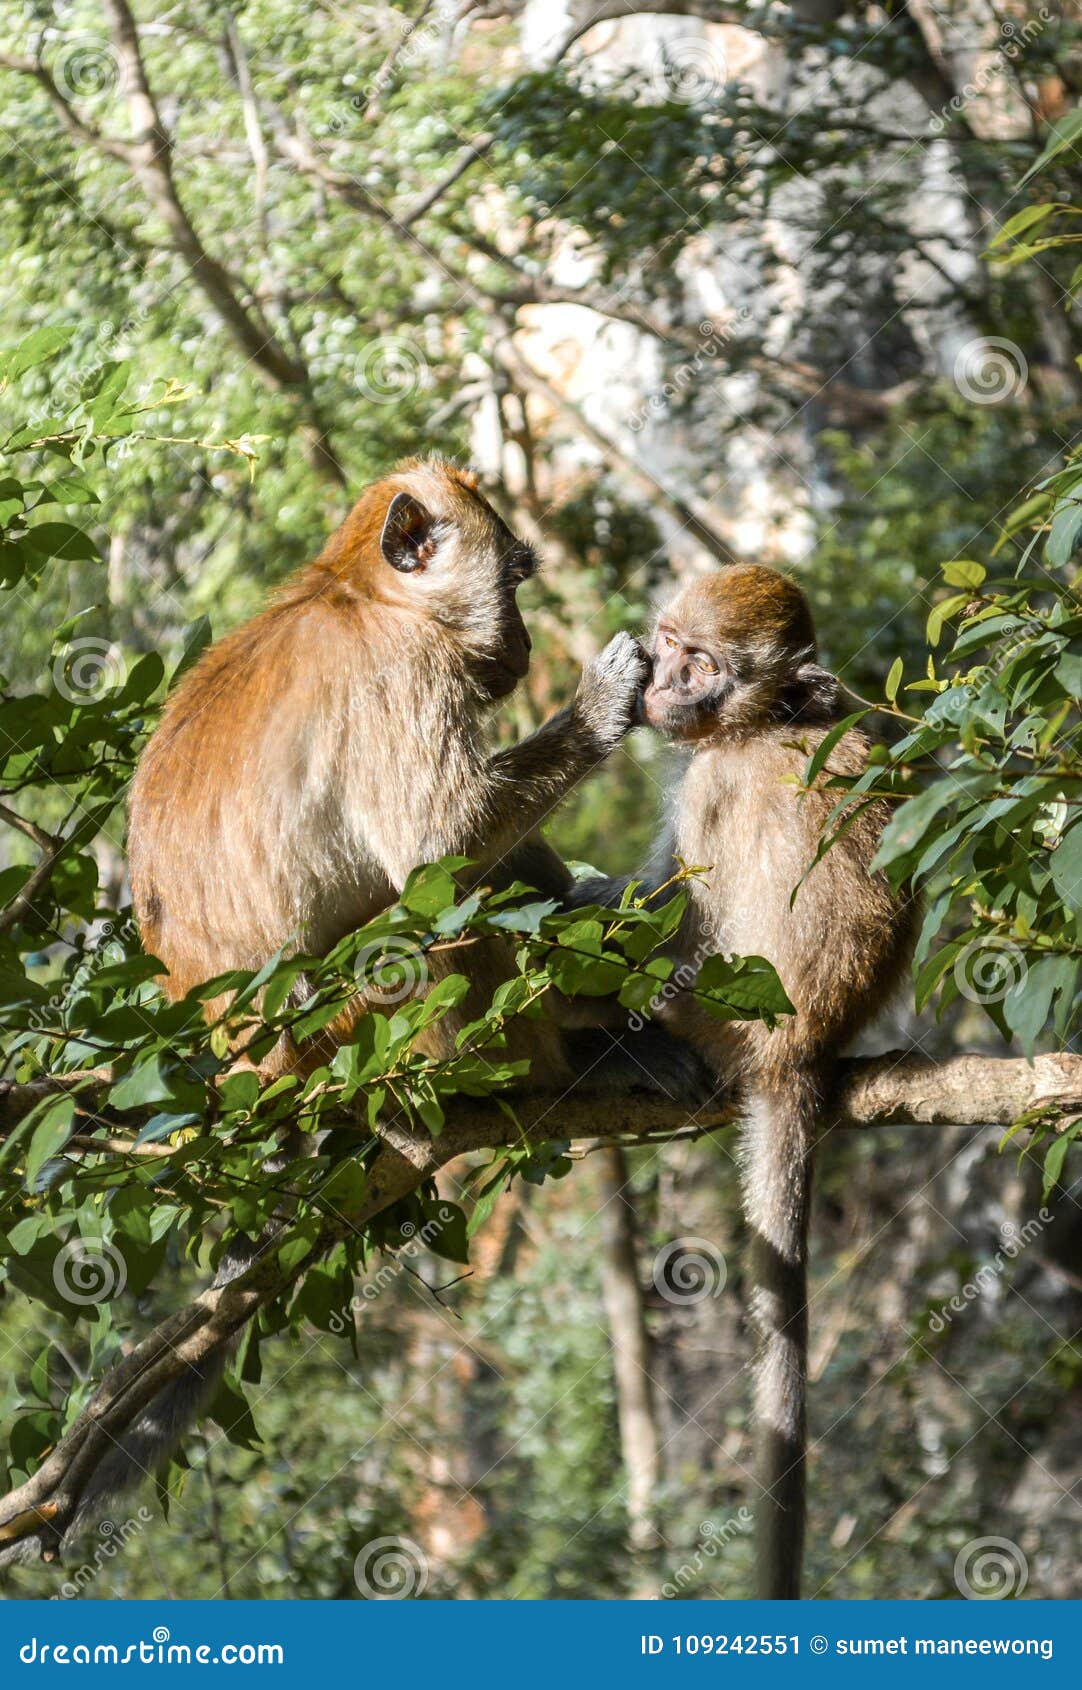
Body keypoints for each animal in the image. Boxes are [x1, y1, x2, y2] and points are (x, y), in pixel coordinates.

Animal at [572, 565, 917, 1600]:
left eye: (706, 664)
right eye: (672, 645)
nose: (667, 685)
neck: (751, 722)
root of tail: (792, 1053)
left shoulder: (711, 785)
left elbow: (659, 918)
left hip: (712, 1021)